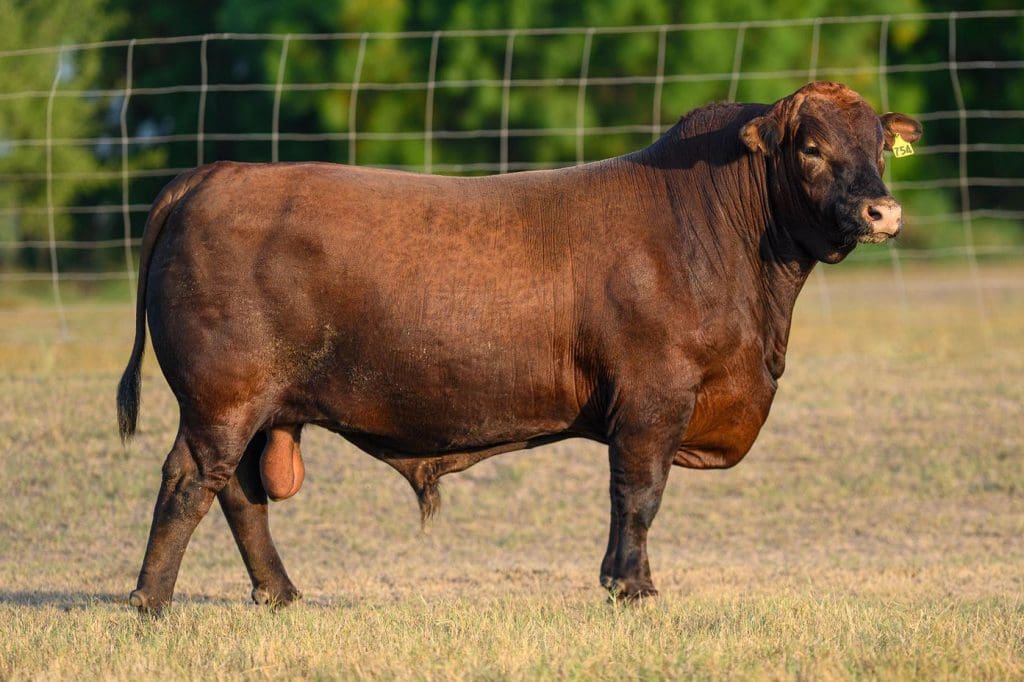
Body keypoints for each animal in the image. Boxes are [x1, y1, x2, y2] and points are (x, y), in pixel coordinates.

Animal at [117, 81, 921, 611]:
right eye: (811, 147)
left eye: (881, 148)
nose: (882, 211)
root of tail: (216, 173)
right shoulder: (653, 398)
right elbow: (638, 495)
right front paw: (633, 589)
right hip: (223, 398)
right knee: (190, 481)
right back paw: (150, 602)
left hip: (258, 407)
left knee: (241, 491)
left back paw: (281, 594)